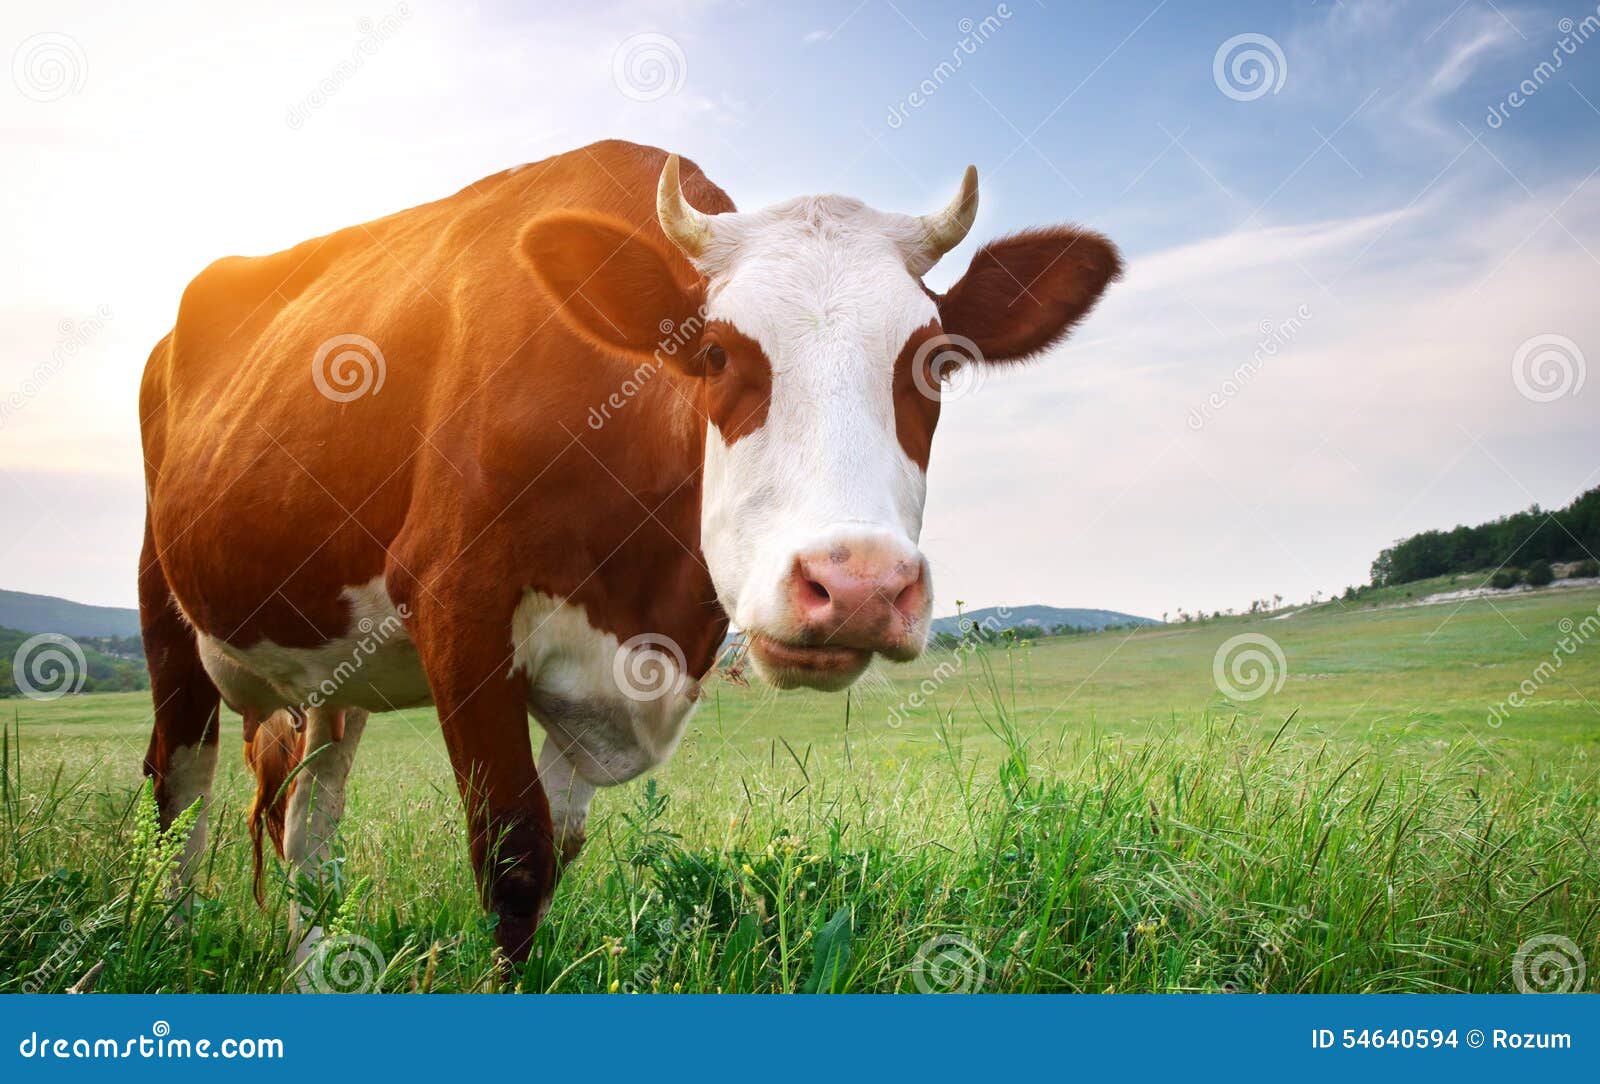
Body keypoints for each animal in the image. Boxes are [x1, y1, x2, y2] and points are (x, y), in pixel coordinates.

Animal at [138, 140, 1120, 963]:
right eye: (715, 353)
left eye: (939, 363)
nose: (859, 586)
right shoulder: (458, 607)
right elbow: (513, 859)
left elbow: (554, 856)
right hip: (167, 610)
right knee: (179, 793)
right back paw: (170, 950)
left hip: (331, 678)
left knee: (309, 821)